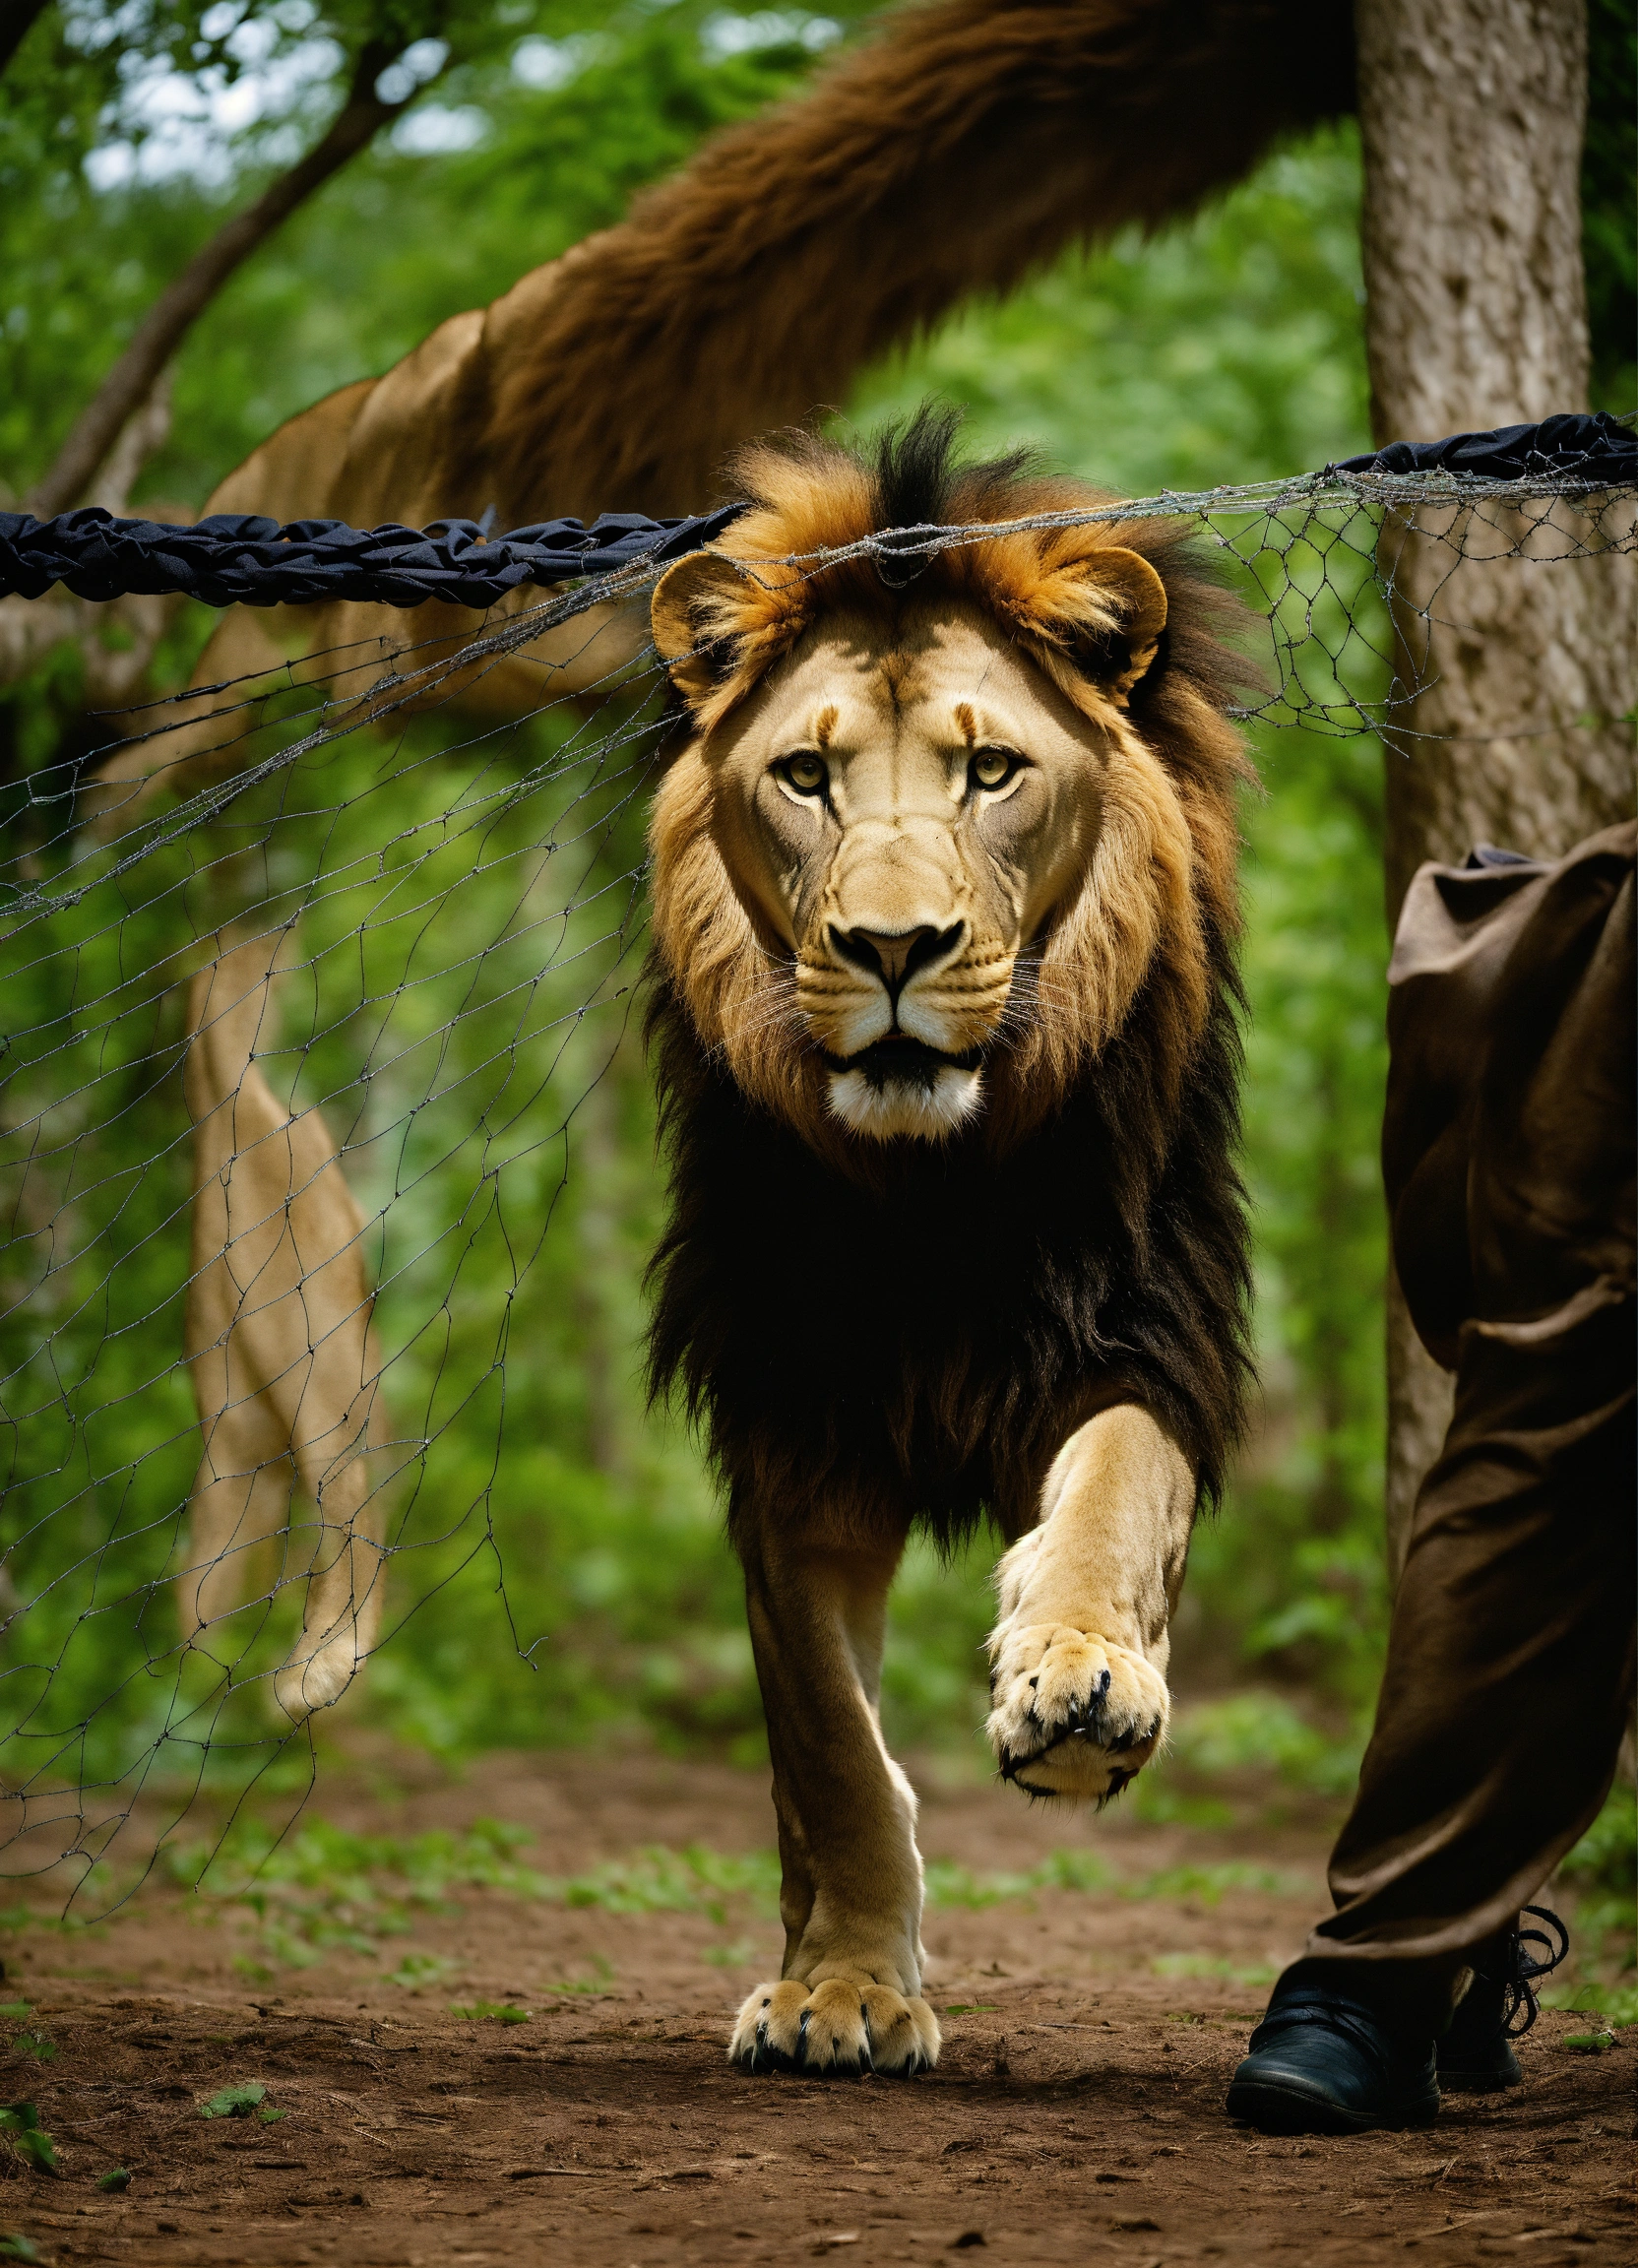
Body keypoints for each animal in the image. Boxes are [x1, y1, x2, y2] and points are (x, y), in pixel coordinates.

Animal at [643, 408, 1253, 2075]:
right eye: (805, 776)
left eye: (991, 771)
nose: (894, 948)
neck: (934, 1193)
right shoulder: (790, 1426)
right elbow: (831, 1753)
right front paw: (844, 1987)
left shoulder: (1143, 1328)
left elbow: (1116, 1496)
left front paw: (1082, 1685)